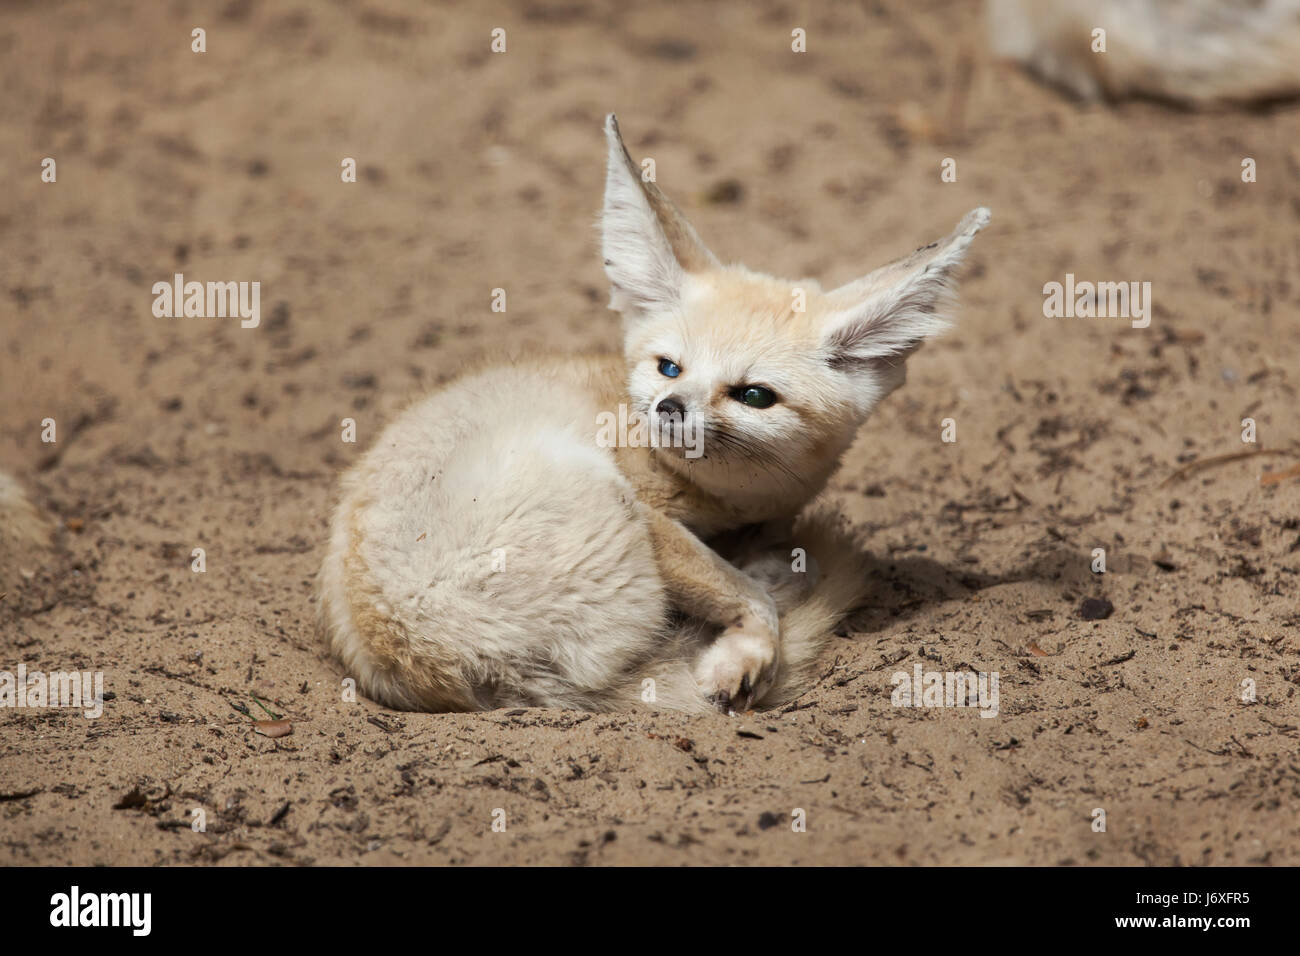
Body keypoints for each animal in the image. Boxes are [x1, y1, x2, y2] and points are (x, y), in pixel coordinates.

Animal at [316, 115, 989, 714]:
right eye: (670, 368)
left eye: (753, 396)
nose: (669, 407)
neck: (733, 501)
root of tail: (430, 659)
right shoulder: (651, 514)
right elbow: (745, 595)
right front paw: (743, 646)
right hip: (603, 502)